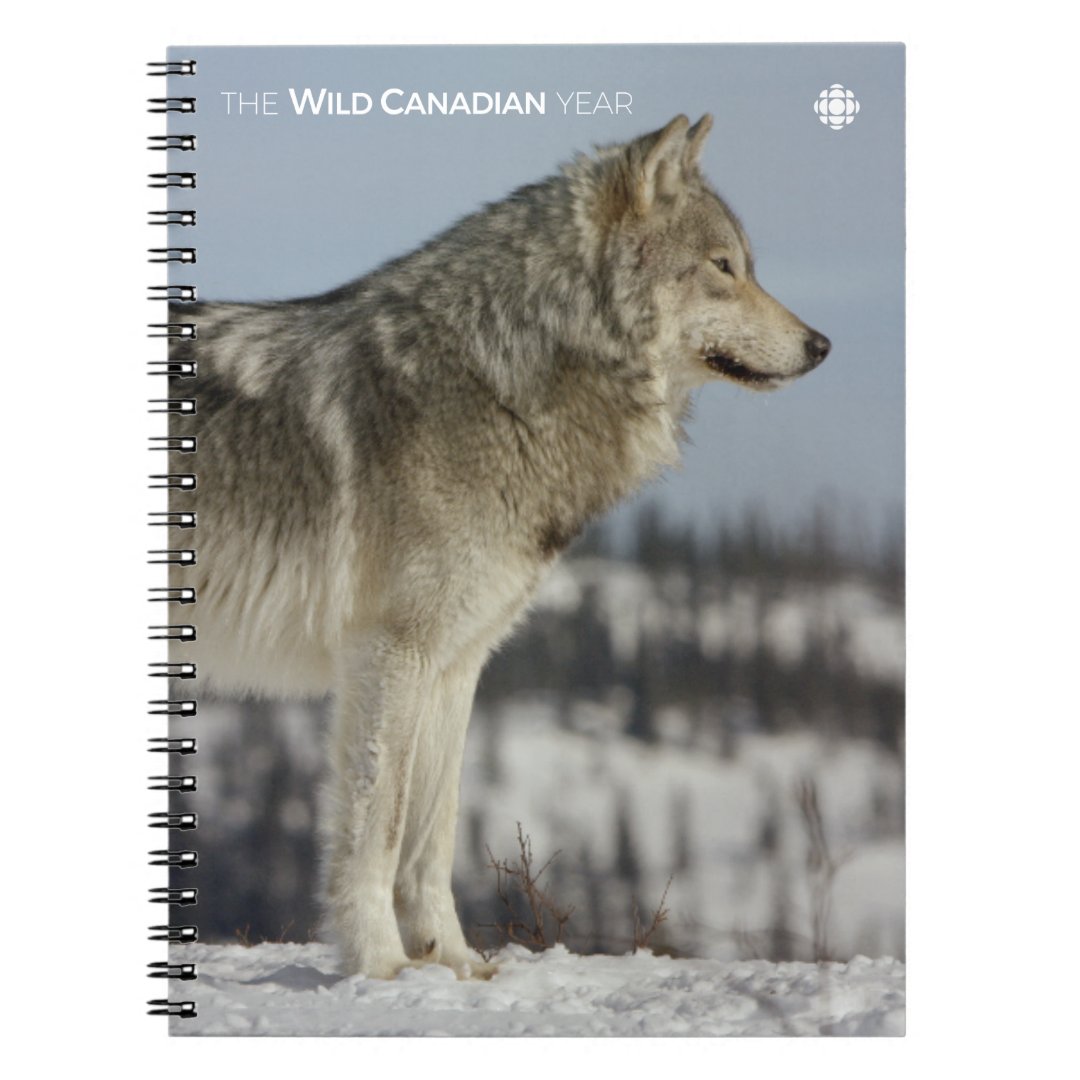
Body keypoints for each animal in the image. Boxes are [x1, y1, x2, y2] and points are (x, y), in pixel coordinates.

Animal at [168, 114, 829, 979]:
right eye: (724, 267)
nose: (821, 344)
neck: (501, 383)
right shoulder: (391, 653)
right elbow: (379, 827)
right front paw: (382, 966)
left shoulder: (456, 666)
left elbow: (433, 831)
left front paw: (452, 963)